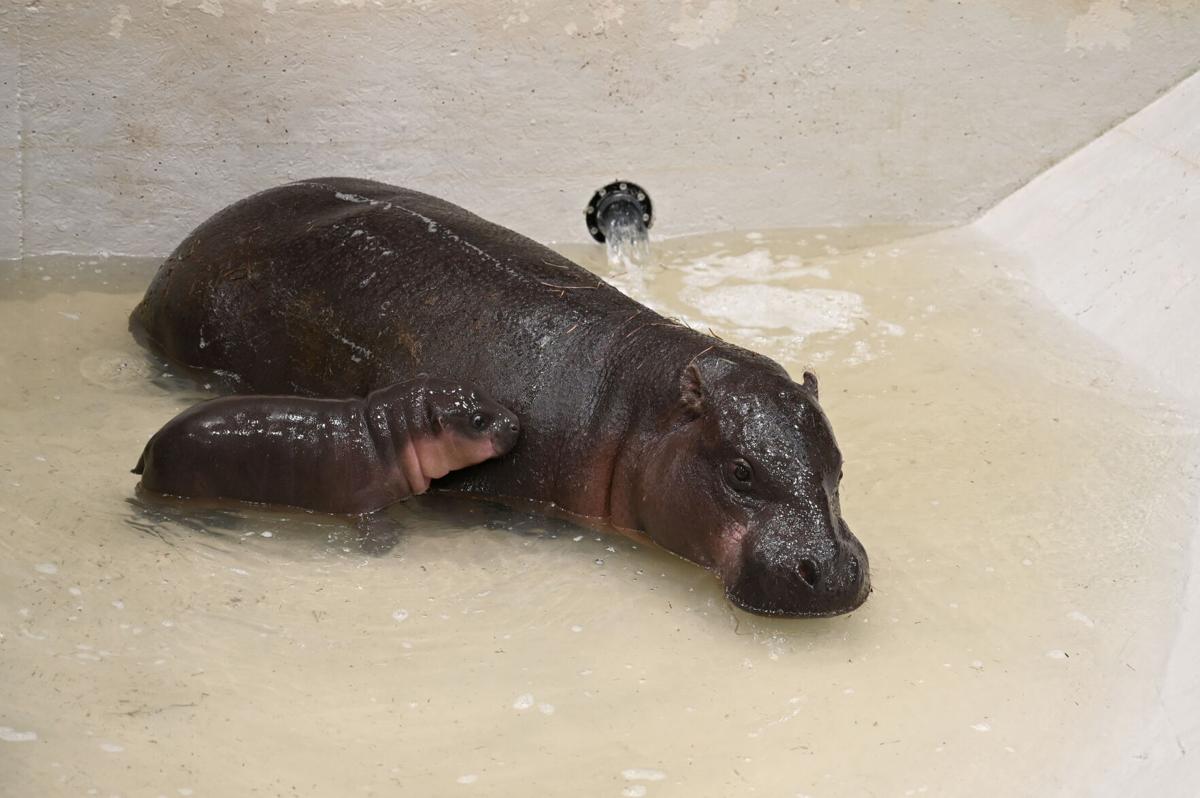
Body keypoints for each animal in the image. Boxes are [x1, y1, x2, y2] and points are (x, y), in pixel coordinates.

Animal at [134, 377, 520, 515]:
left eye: (484, 392)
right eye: (478, 421)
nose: (515, 423)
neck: (389, 433)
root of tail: (151, 443)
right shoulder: (367, 503)